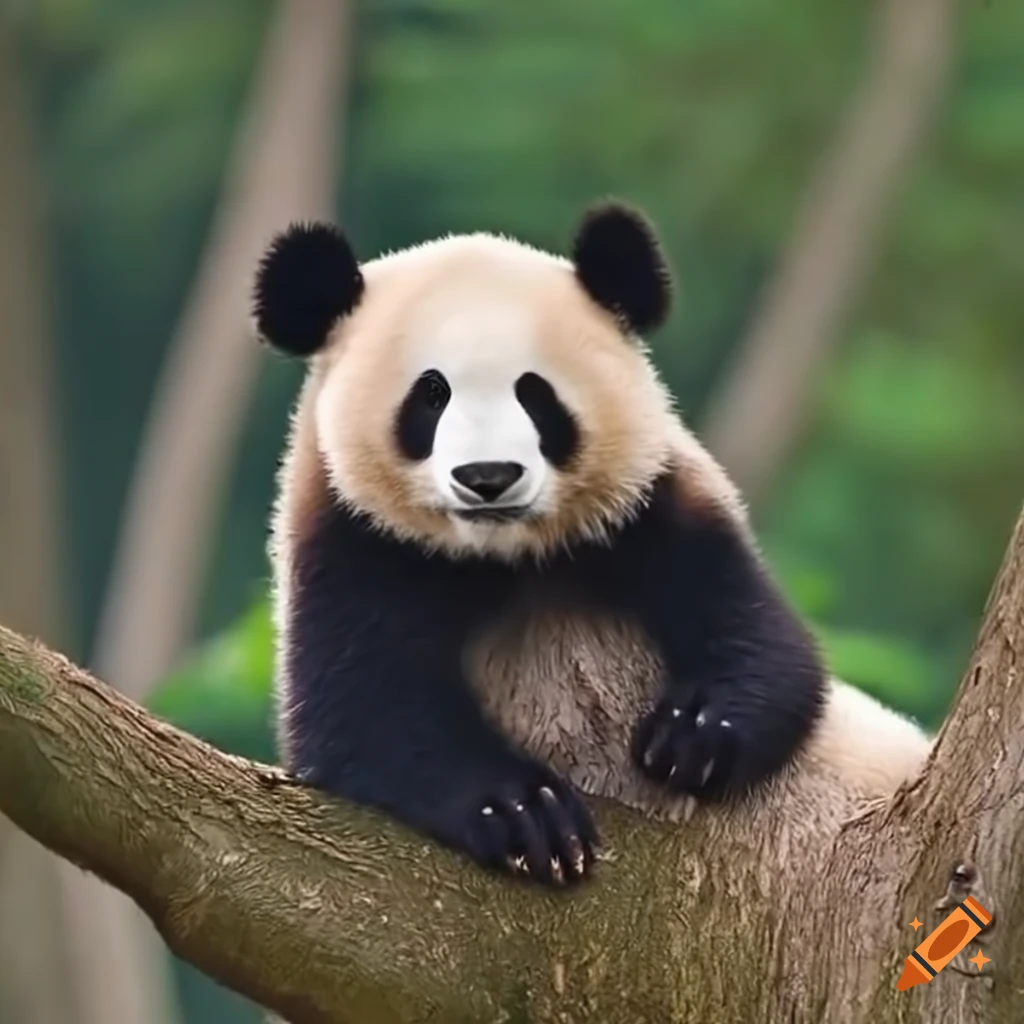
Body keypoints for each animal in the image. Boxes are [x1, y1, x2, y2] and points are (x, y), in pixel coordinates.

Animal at [254, 200, 931, 888]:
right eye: (432, 395)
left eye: (535, 393)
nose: (489, 476)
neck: (508, 556)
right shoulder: (356, 545)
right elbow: (365, 713)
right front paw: (525, 815)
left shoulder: (652, 507)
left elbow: (767, 644)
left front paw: (695, 735)